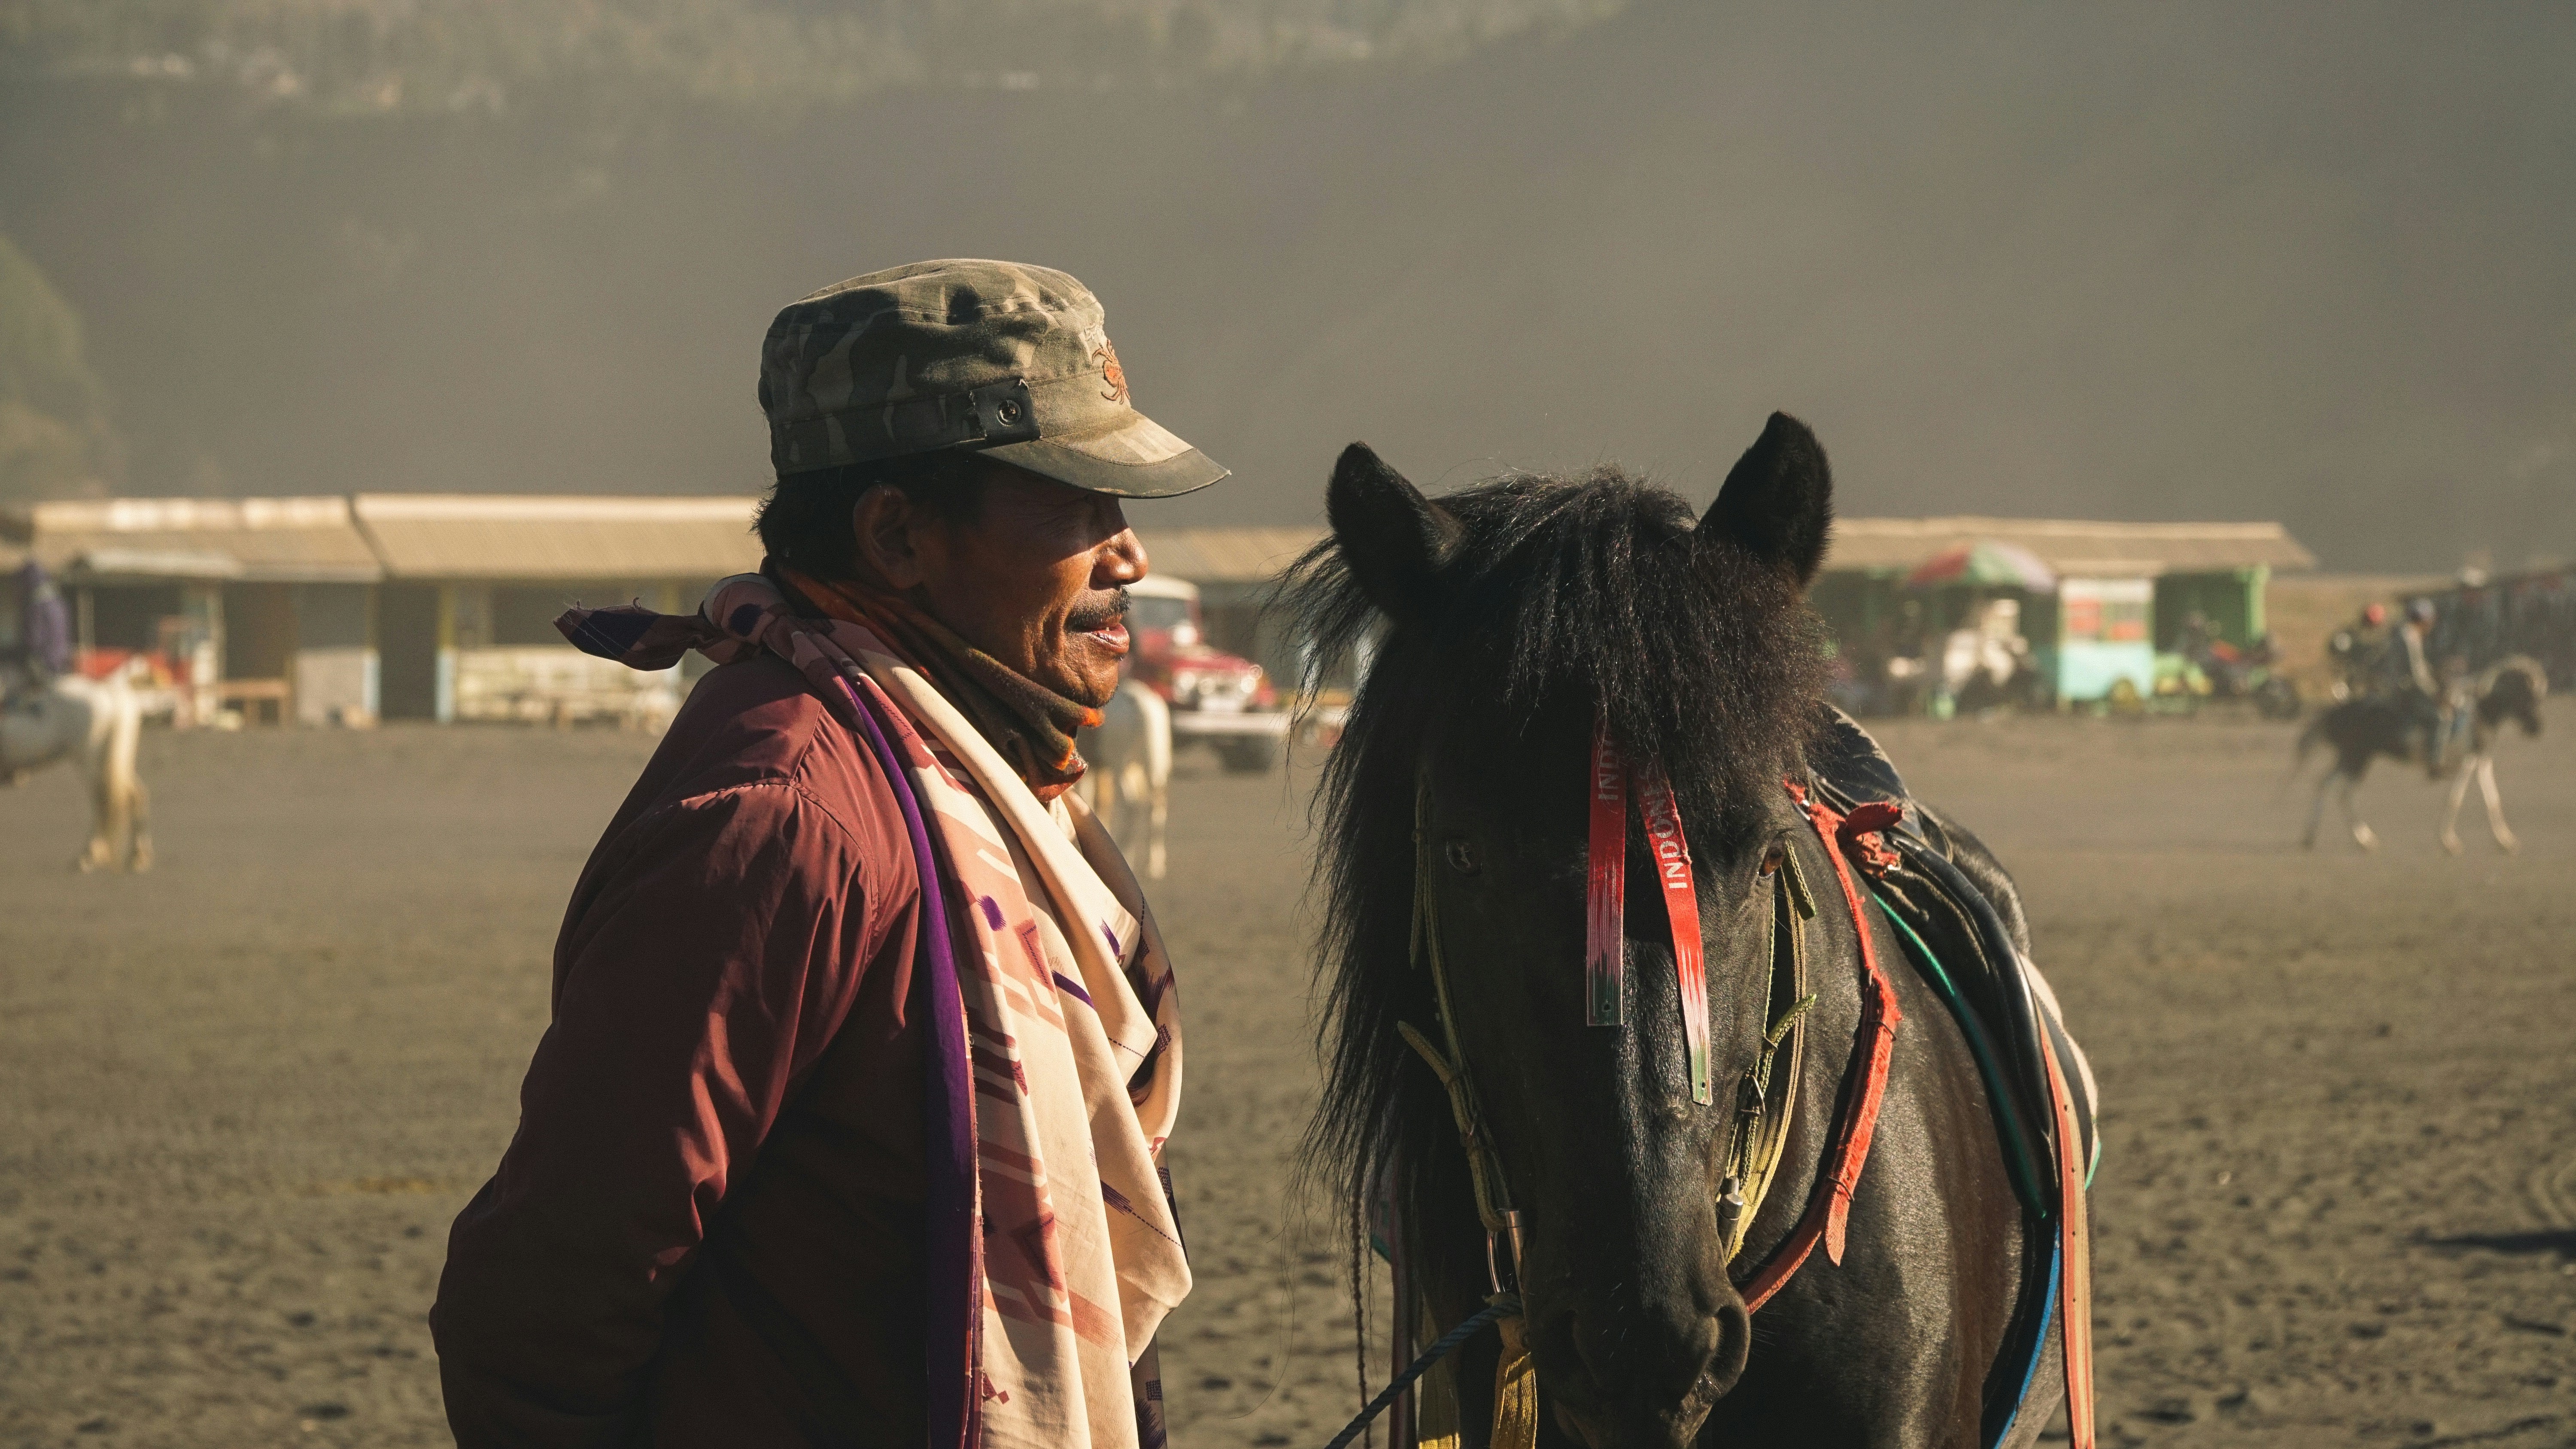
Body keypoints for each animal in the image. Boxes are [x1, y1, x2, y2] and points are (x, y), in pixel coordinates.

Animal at [1, 666, 154, 872]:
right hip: (117, 762)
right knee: (135, 796)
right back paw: (138, 856)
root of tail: (107, 690)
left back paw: (89, 856)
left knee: (101, 801)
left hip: (90, 761)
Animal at [1078, 676, 1172, 879]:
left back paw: (1127, 857)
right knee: (1156, 806)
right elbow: (1101, 804)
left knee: (1131, 804)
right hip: (1151, 768)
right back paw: (1154, 865)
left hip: (1121, 767)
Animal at [2294, 657, 2547, 853]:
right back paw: (2359, 839)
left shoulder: (2481, 762)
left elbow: (2492, 799)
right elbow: (2456, 799)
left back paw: (2320, 837)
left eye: (2538, 696)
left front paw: (2506, 842)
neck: (2477, 717)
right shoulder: (2467, 763)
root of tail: (2338, 710)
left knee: (2329, 786)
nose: (2536, 728)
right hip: (2357, 758)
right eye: (2524, 695)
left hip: (2351, 758)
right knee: (2341, 790)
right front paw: (2449, 843)